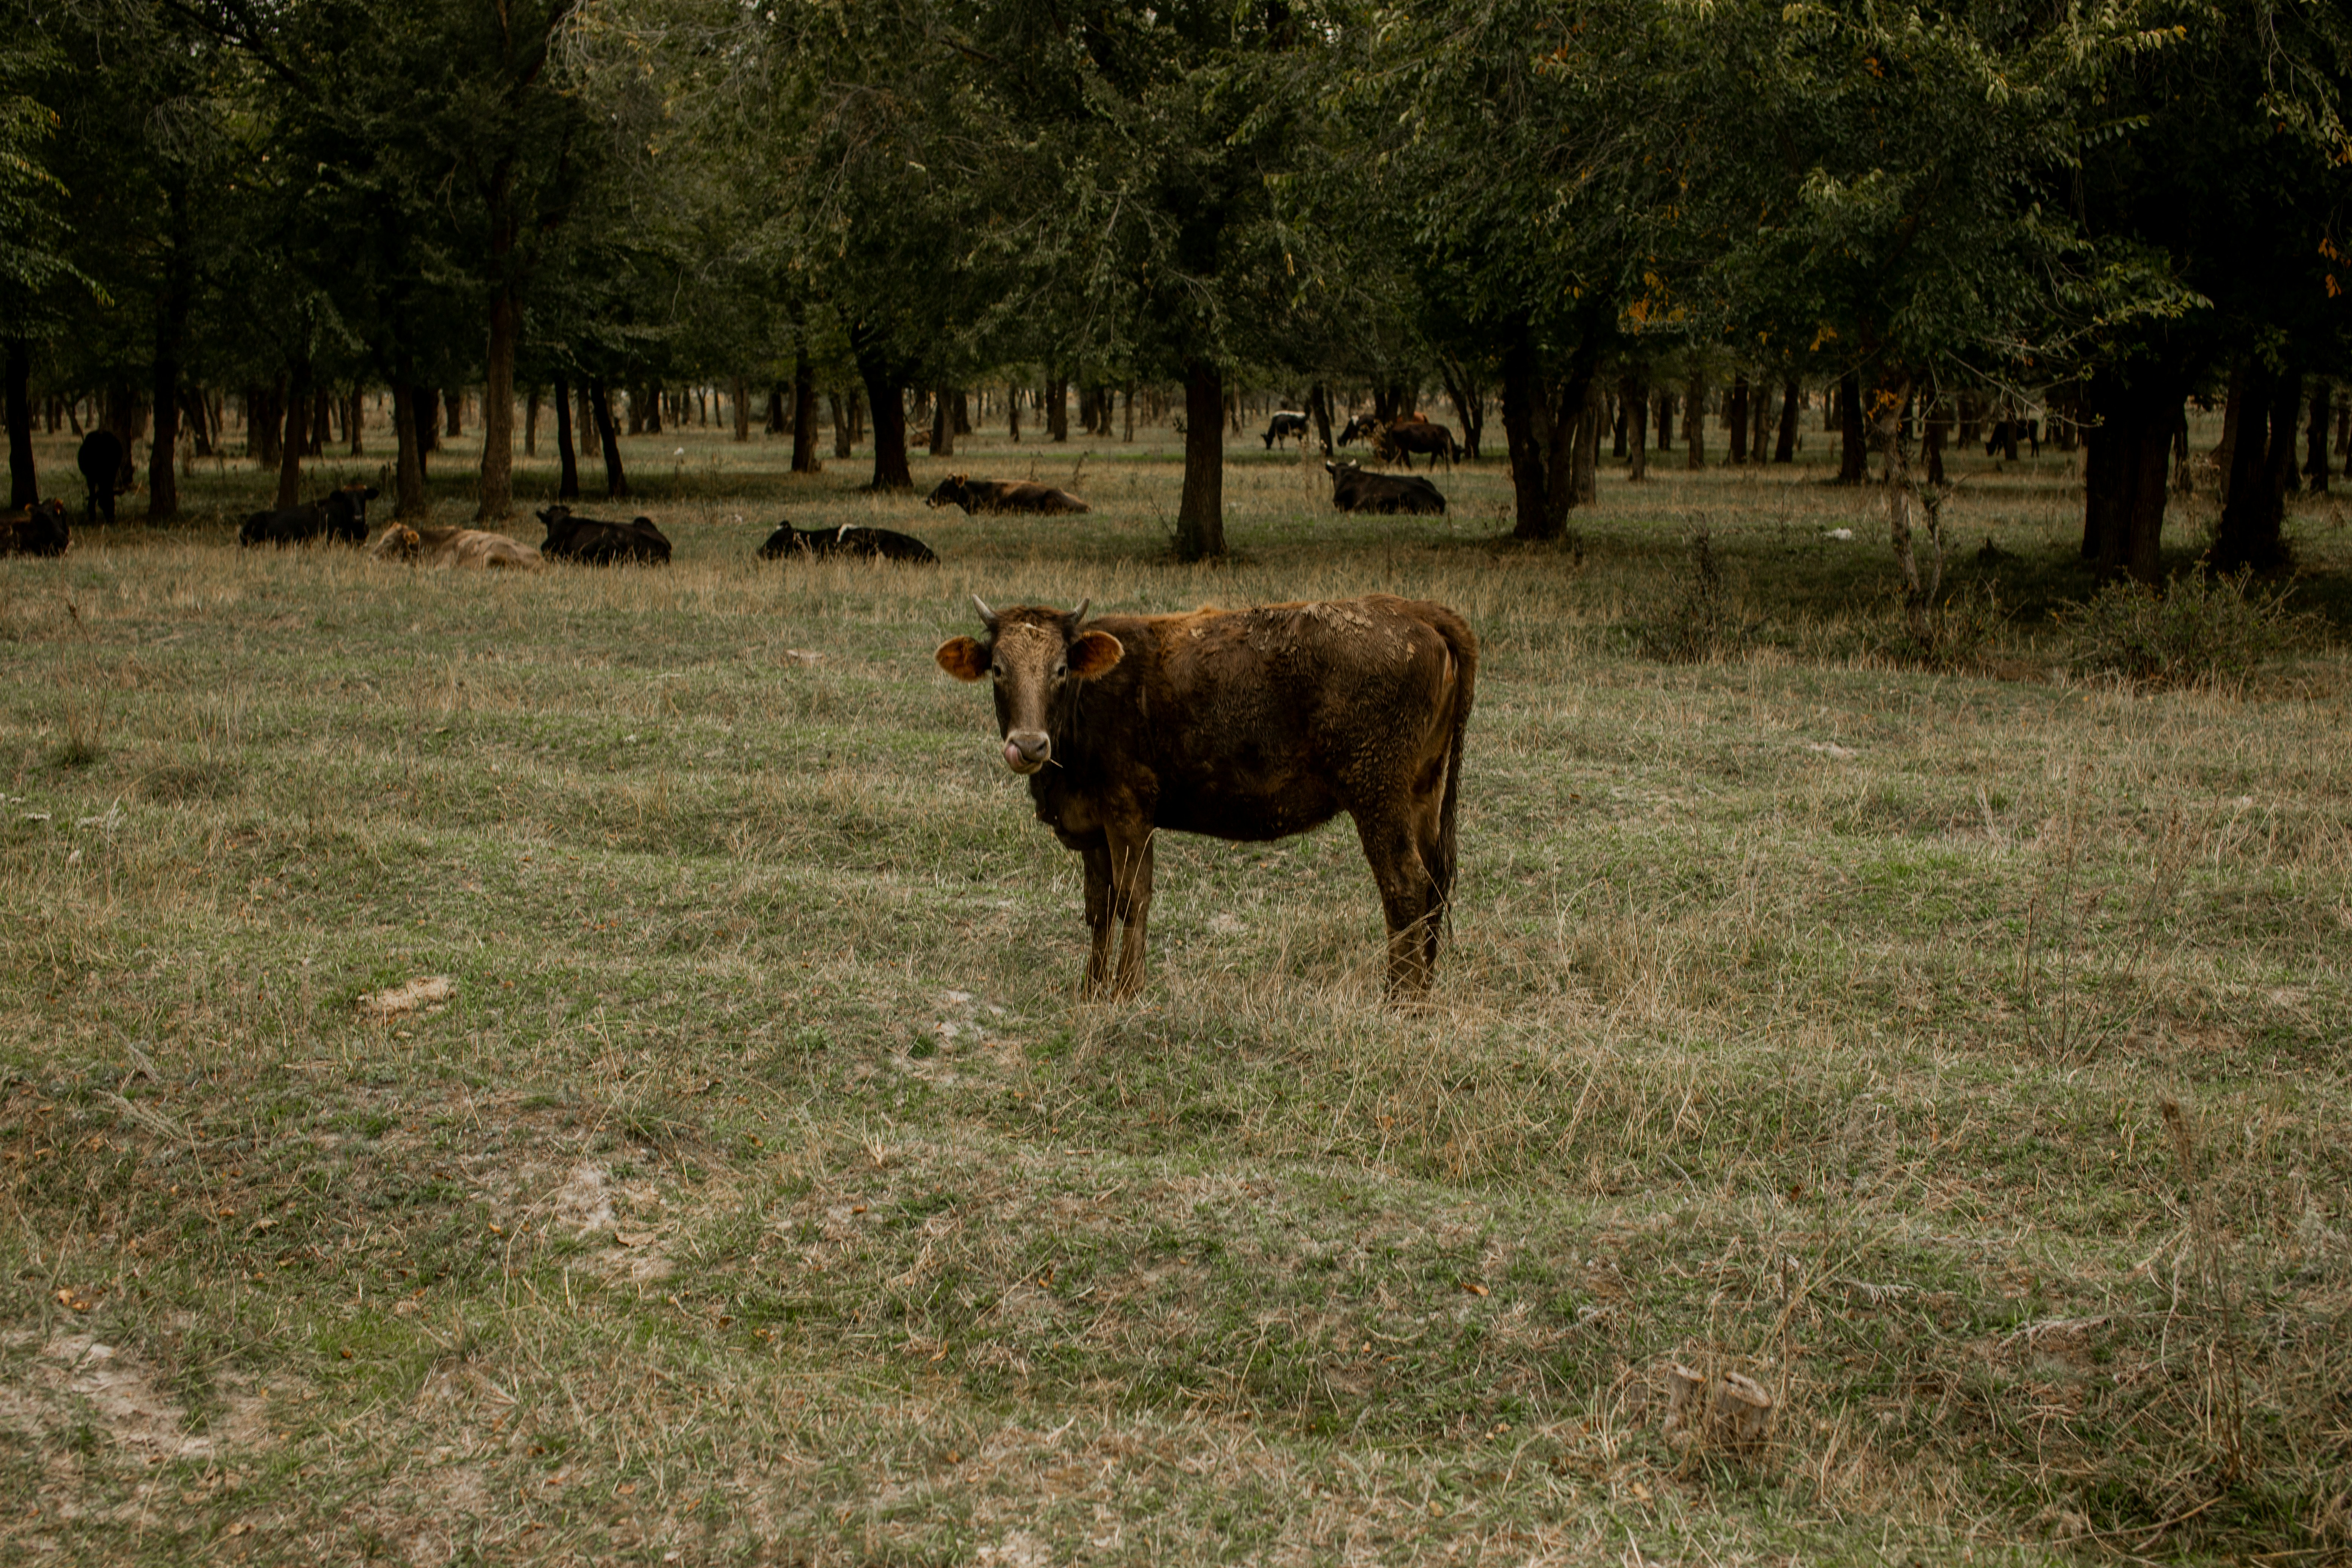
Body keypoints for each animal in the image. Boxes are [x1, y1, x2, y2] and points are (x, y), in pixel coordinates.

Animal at [76, 431, 126, 526]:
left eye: (113, 502)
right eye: (102, 503)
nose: (111, 519)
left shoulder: (113, 475)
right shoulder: (90, 477)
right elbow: (92, 494)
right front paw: (92, 514)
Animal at [934, 594, 1477, 1000]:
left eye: (1061, 669)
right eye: (998, 669)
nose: (1028, 746)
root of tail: (1412, 609)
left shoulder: (1129, 811)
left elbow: (1132, 898)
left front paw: (1126, 992)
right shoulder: (1093, 825)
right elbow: (1098, 906)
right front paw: (1090, 991)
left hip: (1379, 793)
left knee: (1403, 885)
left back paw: (1399, 999)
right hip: (1422, 791)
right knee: (1432, 883)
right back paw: (1424, 994)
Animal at [1261, 410, 1311, 449]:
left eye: (1267, 439)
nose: (1268, 448)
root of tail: (1305, 416)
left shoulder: (1279, 433)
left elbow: (1281, 441)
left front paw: (1281, 448)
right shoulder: (1283, 434)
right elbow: (1283, 441)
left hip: (1299, 434)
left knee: (1302, 441)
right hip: (1307, 433)